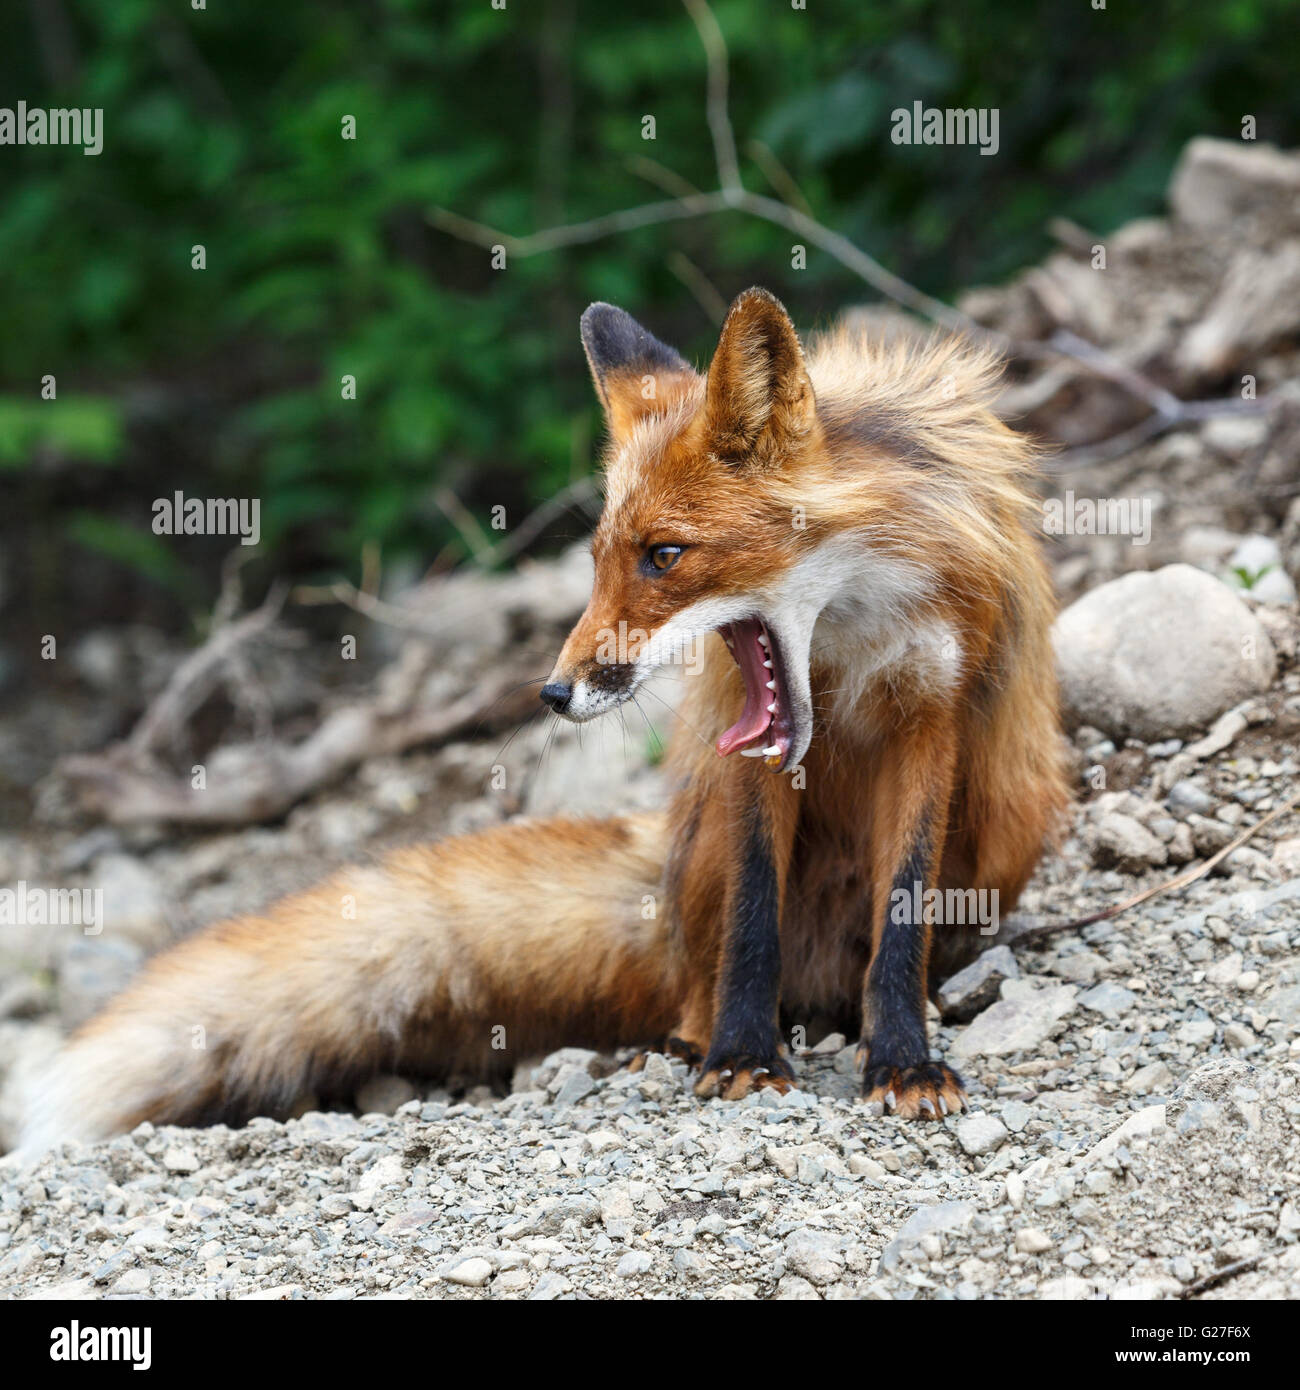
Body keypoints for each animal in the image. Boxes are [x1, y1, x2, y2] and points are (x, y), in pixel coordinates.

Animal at [21, 288, 1068, 1149]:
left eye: (664, 555)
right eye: (598, 560)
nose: (555, 695)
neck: (849, 633)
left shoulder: (929, 718)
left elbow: (904, 916)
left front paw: (903, 1060)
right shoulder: (751, 744)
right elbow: (752, 919)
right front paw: (740, 1054)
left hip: (1011, 819)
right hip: (702, 848)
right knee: (698, 974)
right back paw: (695, 1036)